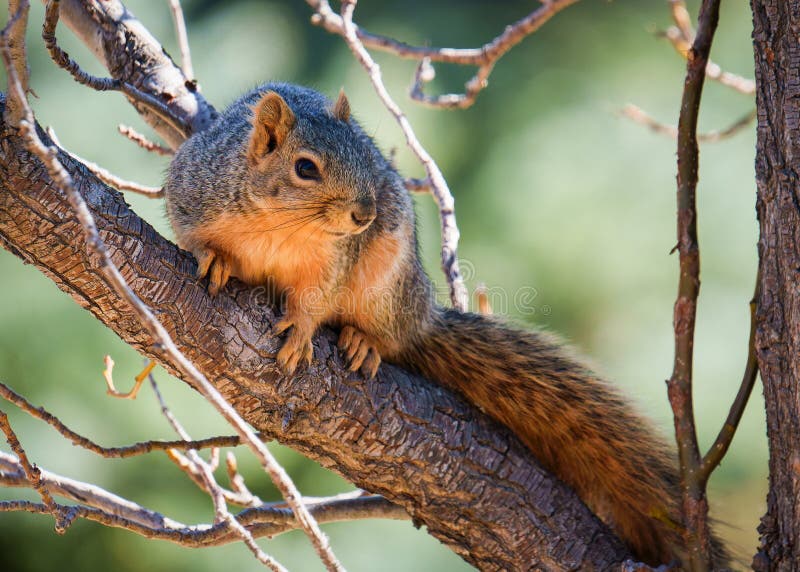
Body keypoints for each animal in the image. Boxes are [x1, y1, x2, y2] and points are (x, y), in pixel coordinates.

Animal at [164, 82, 728, 568]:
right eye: (305, 167)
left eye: (368, 157)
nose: (366, 213)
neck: (279, 225)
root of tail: (421, 317)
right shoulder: (192, 194)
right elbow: (193, 236)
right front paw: (214, 260)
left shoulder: (336, 260)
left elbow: (316, 299)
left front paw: (302, 331)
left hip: (388, 280)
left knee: (387, 333)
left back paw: (364, 341)